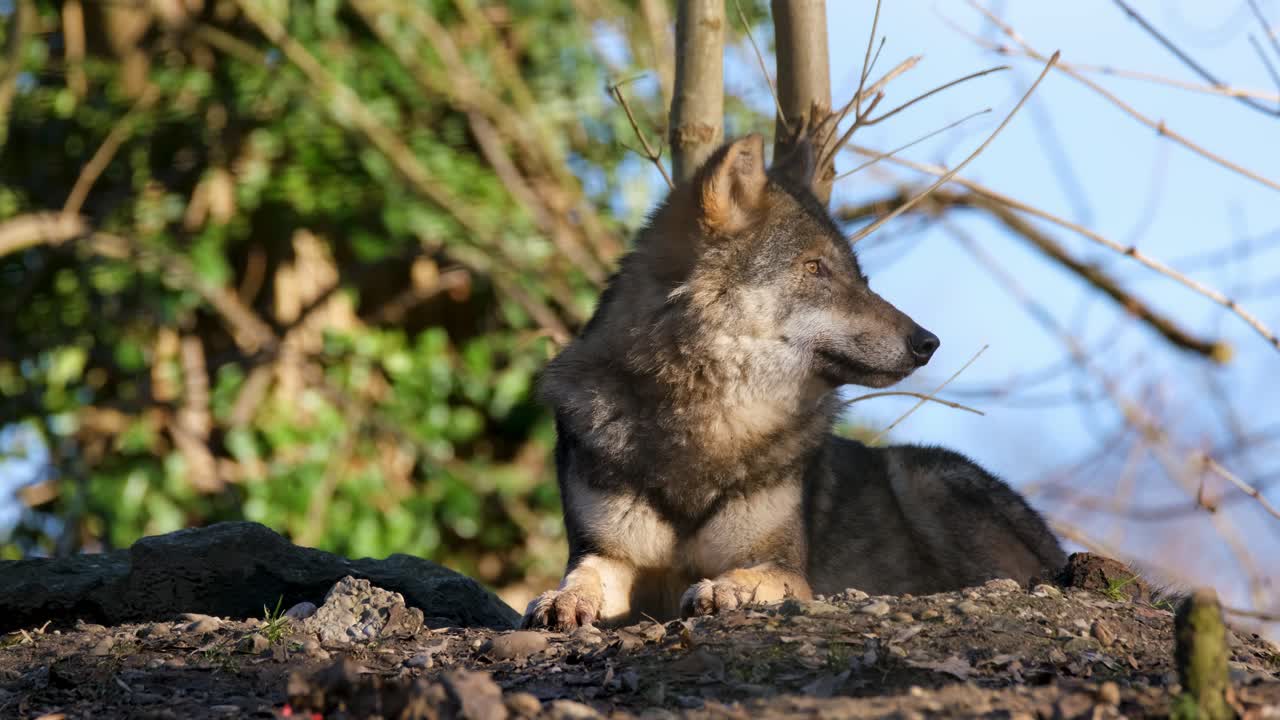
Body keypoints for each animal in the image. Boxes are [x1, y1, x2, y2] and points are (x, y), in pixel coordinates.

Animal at [524, 135, 1065, 630]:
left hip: (921, 475)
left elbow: (753, 576)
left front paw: (724, 590)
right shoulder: (609, 554)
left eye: (860, 277)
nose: (927, 342)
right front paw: (562, 599)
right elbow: (583, 575)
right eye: (814, 268)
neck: (704, 422)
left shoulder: (784, 565)